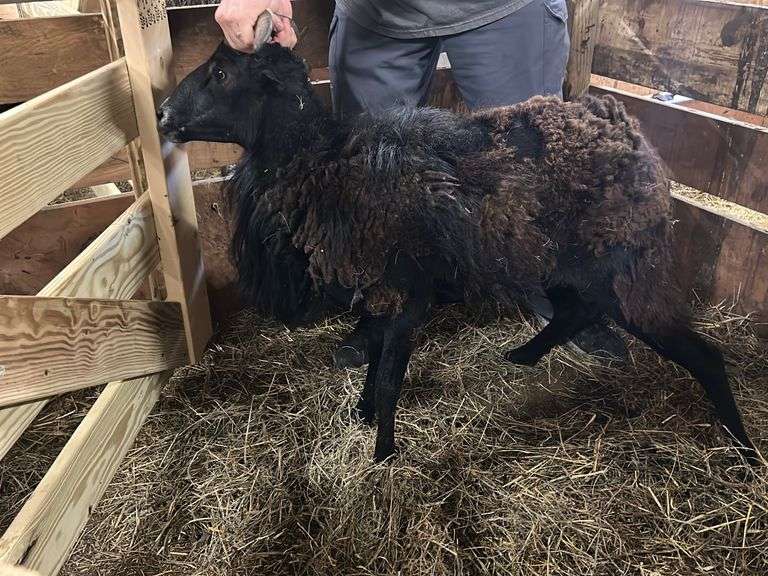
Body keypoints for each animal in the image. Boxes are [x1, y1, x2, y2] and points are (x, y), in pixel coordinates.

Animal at [156, 12, 758, 465]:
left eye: (219, 73)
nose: (161, 114)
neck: (321, 162)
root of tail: (625, 126)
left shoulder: (406, 293)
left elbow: (390, 374)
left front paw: (383, 452)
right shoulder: (383, 292)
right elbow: (374, 357)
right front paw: (363, 415)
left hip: (619, 269)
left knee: (702, 355)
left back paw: (745, 450)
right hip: (556, 262)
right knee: (576, 311)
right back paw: (524, 354)